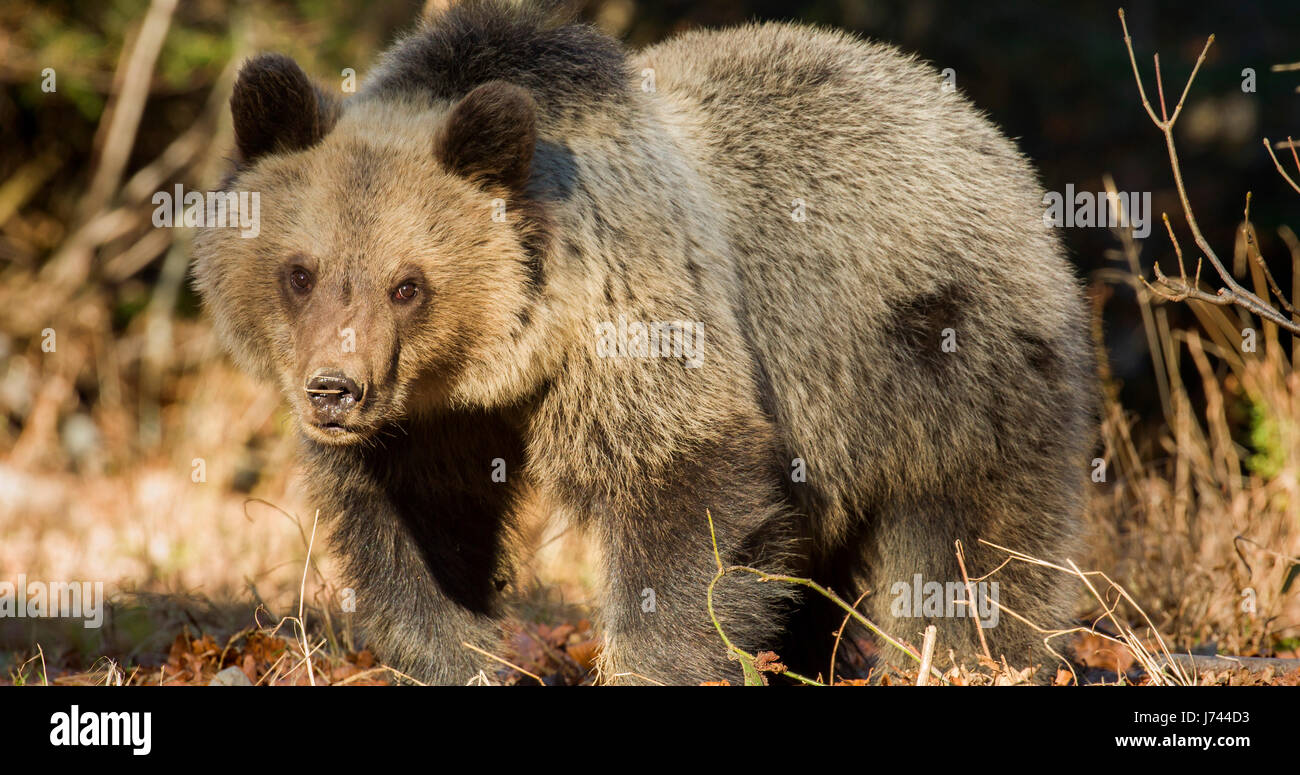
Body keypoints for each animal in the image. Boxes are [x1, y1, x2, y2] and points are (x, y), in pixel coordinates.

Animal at [191, 0, 1096, 685]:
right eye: (301, 272)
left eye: (407, 283)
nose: (334, 389)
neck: (502, 360)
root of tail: (981, 130)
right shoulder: (427, 424)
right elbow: (418, 532)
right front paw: (458, 656)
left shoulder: (636, 312)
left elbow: (682, 495)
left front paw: (654, 662)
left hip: (944, 363)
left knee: (976, 547)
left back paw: (978, 656)